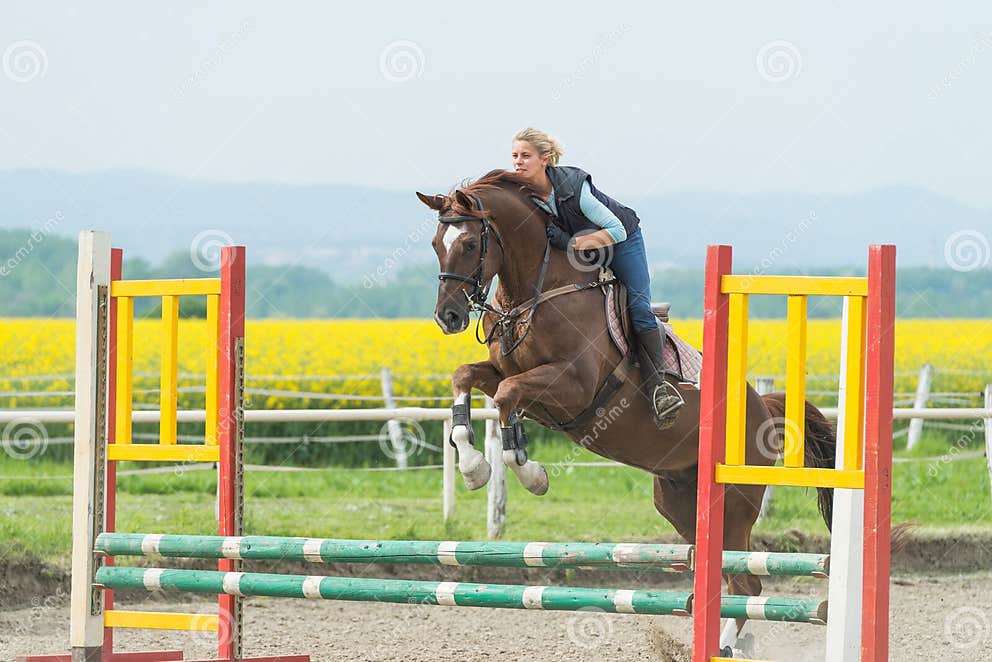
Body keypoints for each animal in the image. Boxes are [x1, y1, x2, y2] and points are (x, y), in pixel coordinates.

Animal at [417, 169, 836, 653]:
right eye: (436, 242)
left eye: (469, 243)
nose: (447, 316)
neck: (538, 291)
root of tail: (763, 407)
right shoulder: (507, 372)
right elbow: (466, 378)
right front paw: (473, 467)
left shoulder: (573, 386)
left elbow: (506, 395)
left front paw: (530, 473)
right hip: (679, 501)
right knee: (733, 581)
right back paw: (731, 646)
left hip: (733, 503)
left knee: (748, 585)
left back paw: (725, 647)